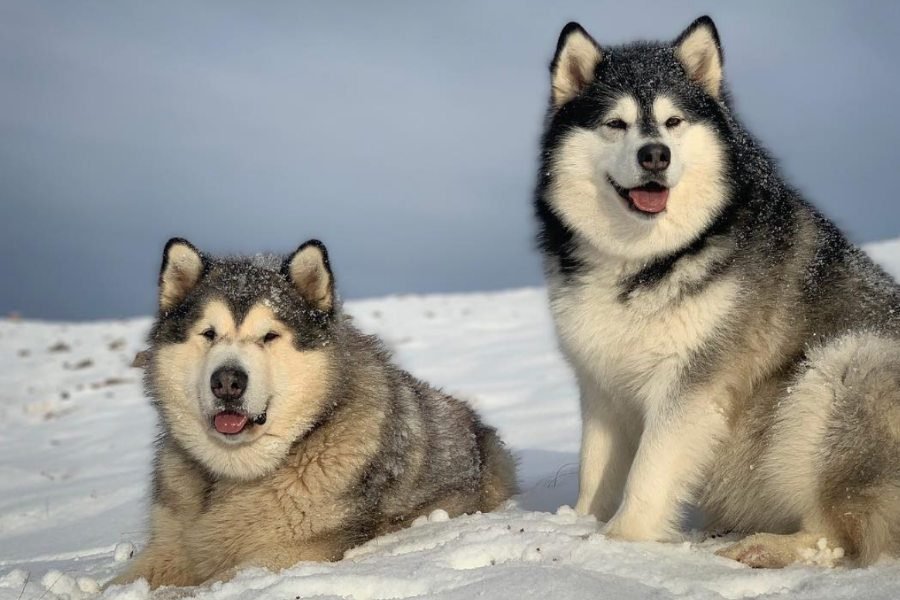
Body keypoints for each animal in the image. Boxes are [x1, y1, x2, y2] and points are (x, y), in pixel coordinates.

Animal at [535, 15, 900, 567]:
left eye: (674, 122)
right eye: (616, 124)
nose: (655, 155)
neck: (648, 262)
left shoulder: (691, 384)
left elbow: (649, 472)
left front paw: (618, 545)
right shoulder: (601, 385)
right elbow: (595, 472)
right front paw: (577, 524)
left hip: (847, 365)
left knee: (842, 533)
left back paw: (765, 546)